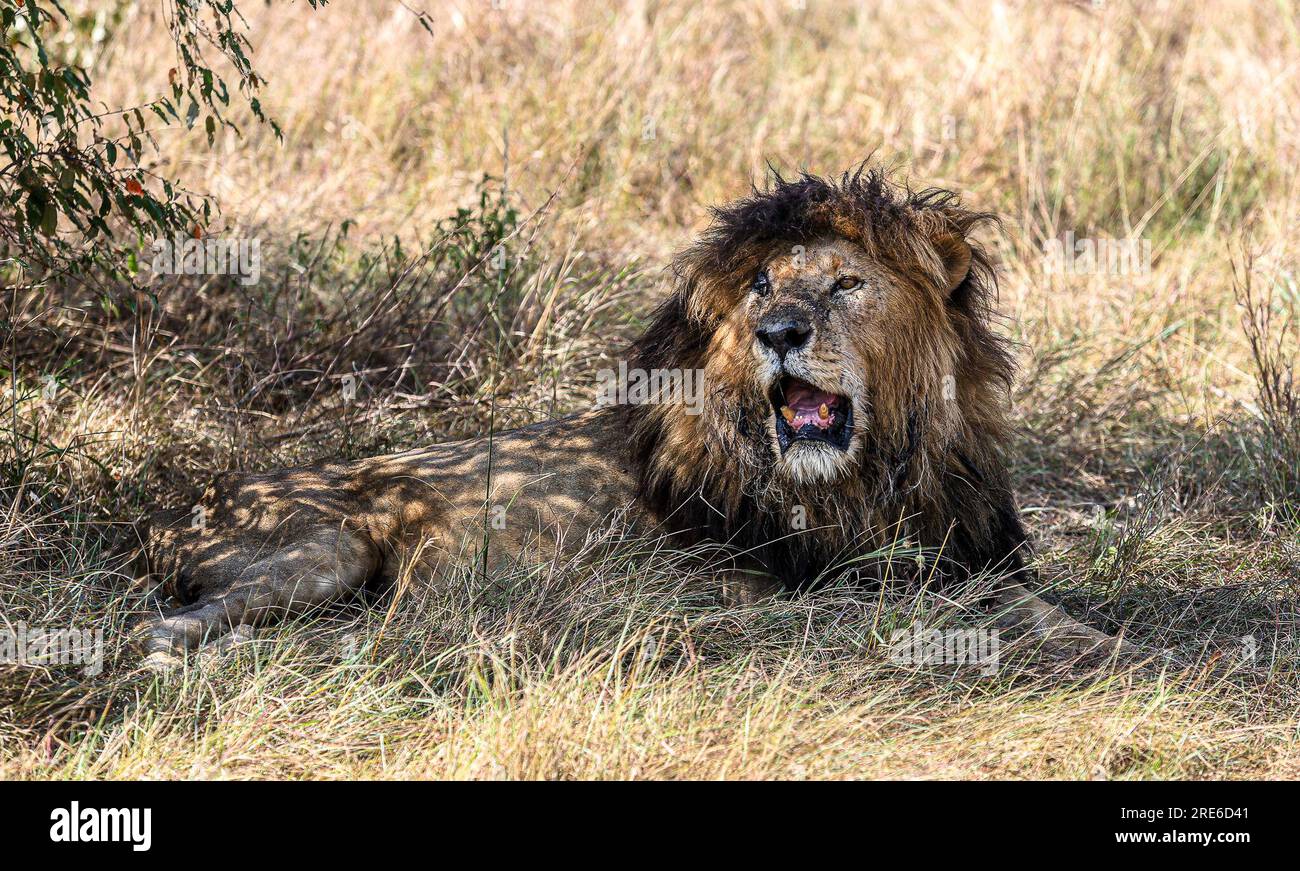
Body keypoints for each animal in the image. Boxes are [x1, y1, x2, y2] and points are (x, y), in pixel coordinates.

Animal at [137, 168, 1128, 664]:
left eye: (848, 283)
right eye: (761, 284)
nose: (778, 331)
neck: (873, 475)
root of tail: (180, 506)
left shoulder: (965, 548)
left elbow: (1032, 602)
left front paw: (1117, 643)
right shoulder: (775, 585)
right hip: (326, 548)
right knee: (170, 624)